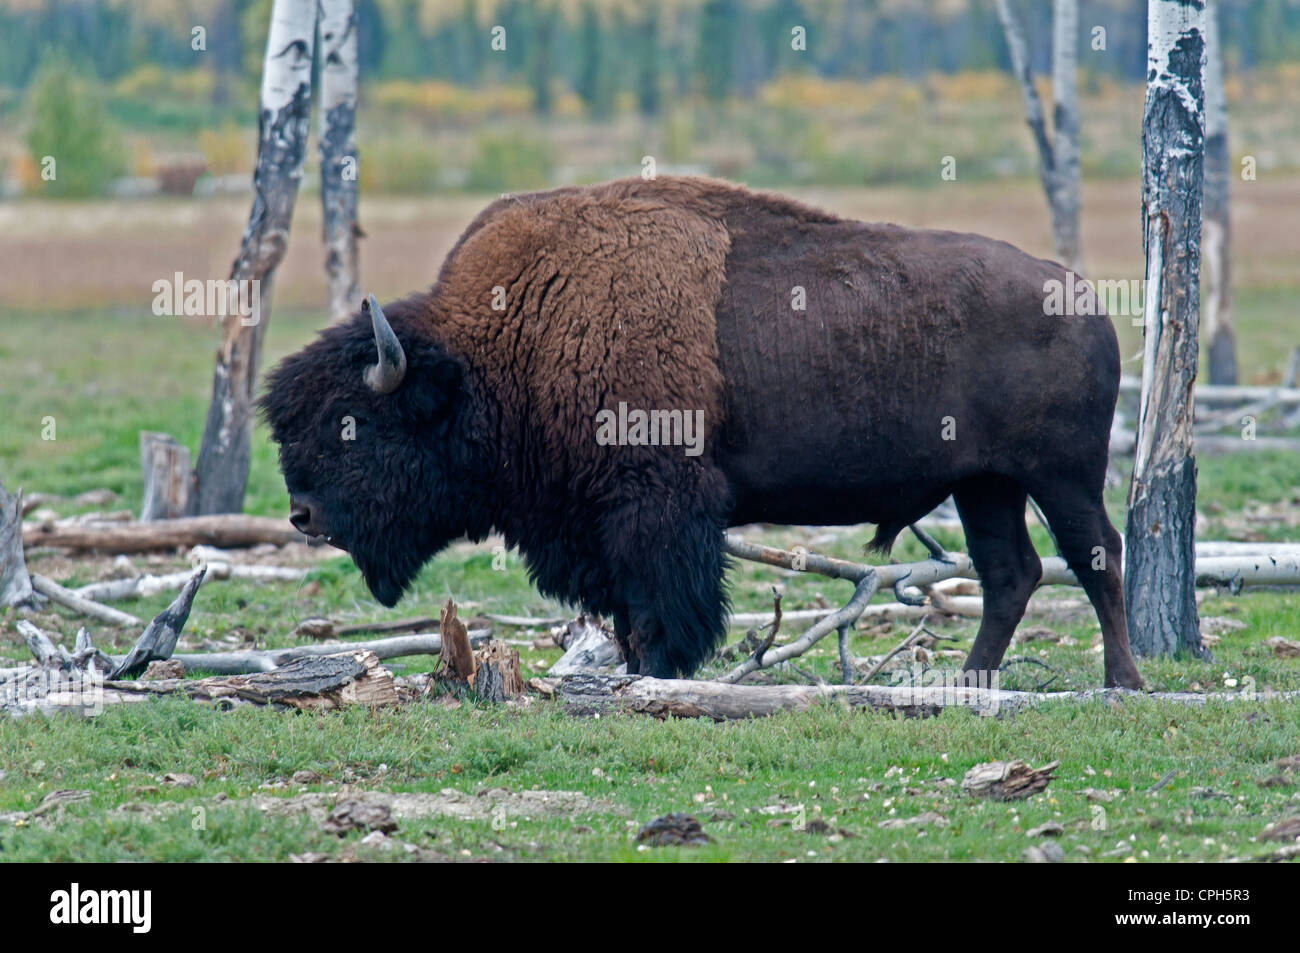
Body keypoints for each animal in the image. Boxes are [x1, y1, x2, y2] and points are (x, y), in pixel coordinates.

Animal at [261, 176, 1144, 689]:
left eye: (353, 425)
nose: (302, 513)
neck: (502, 347)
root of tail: (1085, 301)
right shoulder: (599, 524)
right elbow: (623, 605)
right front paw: (630, 669)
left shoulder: (657, 504)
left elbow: (661, 603)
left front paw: (656, 671)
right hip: (984, 484)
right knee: (1011, 573)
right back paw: (970, 680)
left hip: (1060, 475)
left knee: (1095, 556)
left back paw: (1123, 680)